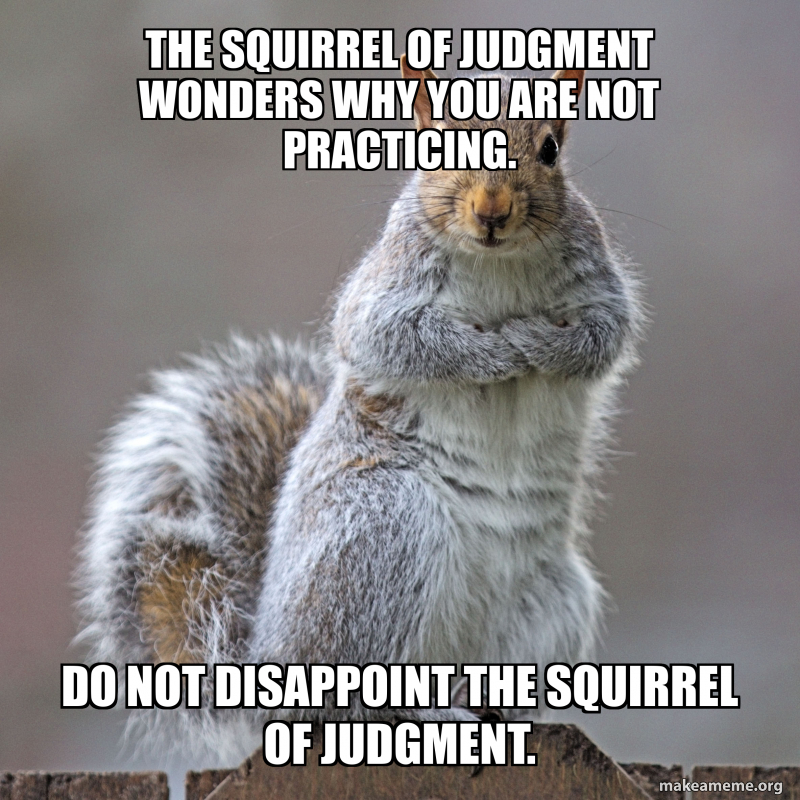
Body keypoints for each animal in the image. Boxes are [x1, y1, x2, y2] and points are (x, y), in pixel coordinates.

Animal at [76, 60, 643, 760]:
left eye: (551, 150)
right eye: (436, 147)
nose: (493, 210)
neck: (498, 262)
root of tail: (265, 671)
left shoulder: (599, 285)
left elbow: (603, 336)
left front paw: (540, 343)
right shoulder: (385, 292)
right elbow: (393, 340)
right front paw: (495, 351)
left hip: (552, 603)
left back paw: (491, 716)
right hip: (385, 532)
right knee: (348, 708)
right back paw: (426, 716)